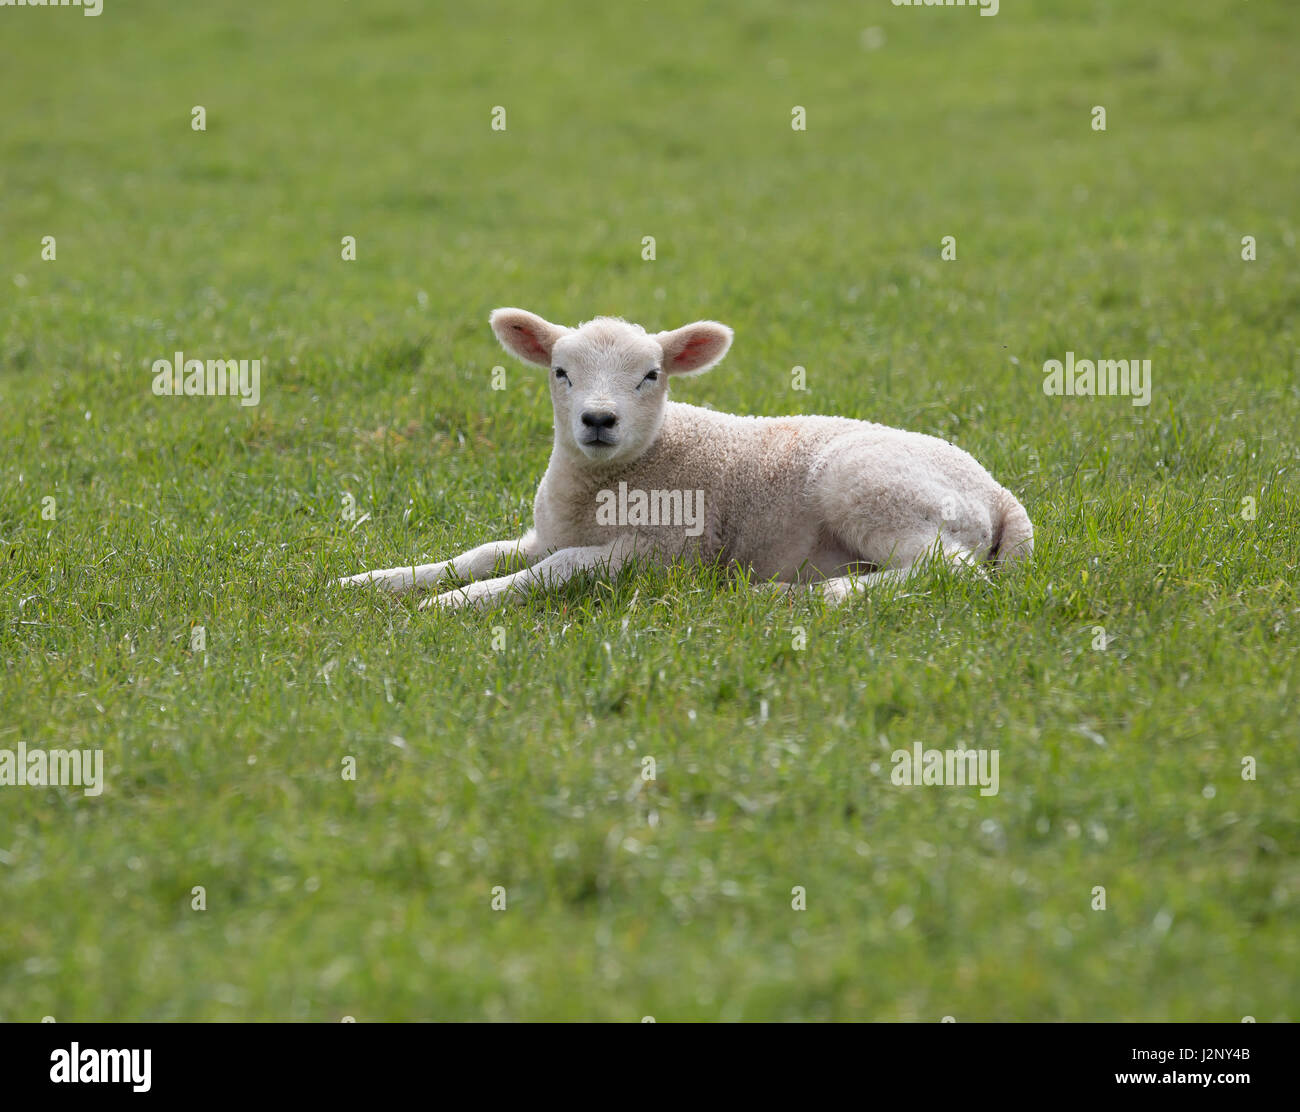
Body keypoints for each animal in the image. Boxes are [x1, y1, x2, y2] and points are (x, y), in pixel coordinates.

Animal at [339, 308, 1033, 609]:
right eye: (561, 372)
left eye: (651, 375)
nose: (598, 420)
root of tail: (1001, 496)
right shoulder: (548, 532)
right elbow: (475, 556)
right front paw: (376, 581)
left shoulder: (661, 551)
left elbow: (559, 569)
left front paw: (451, 606)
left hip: (873, 488)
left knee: (948, 572)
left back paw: (811, 595)